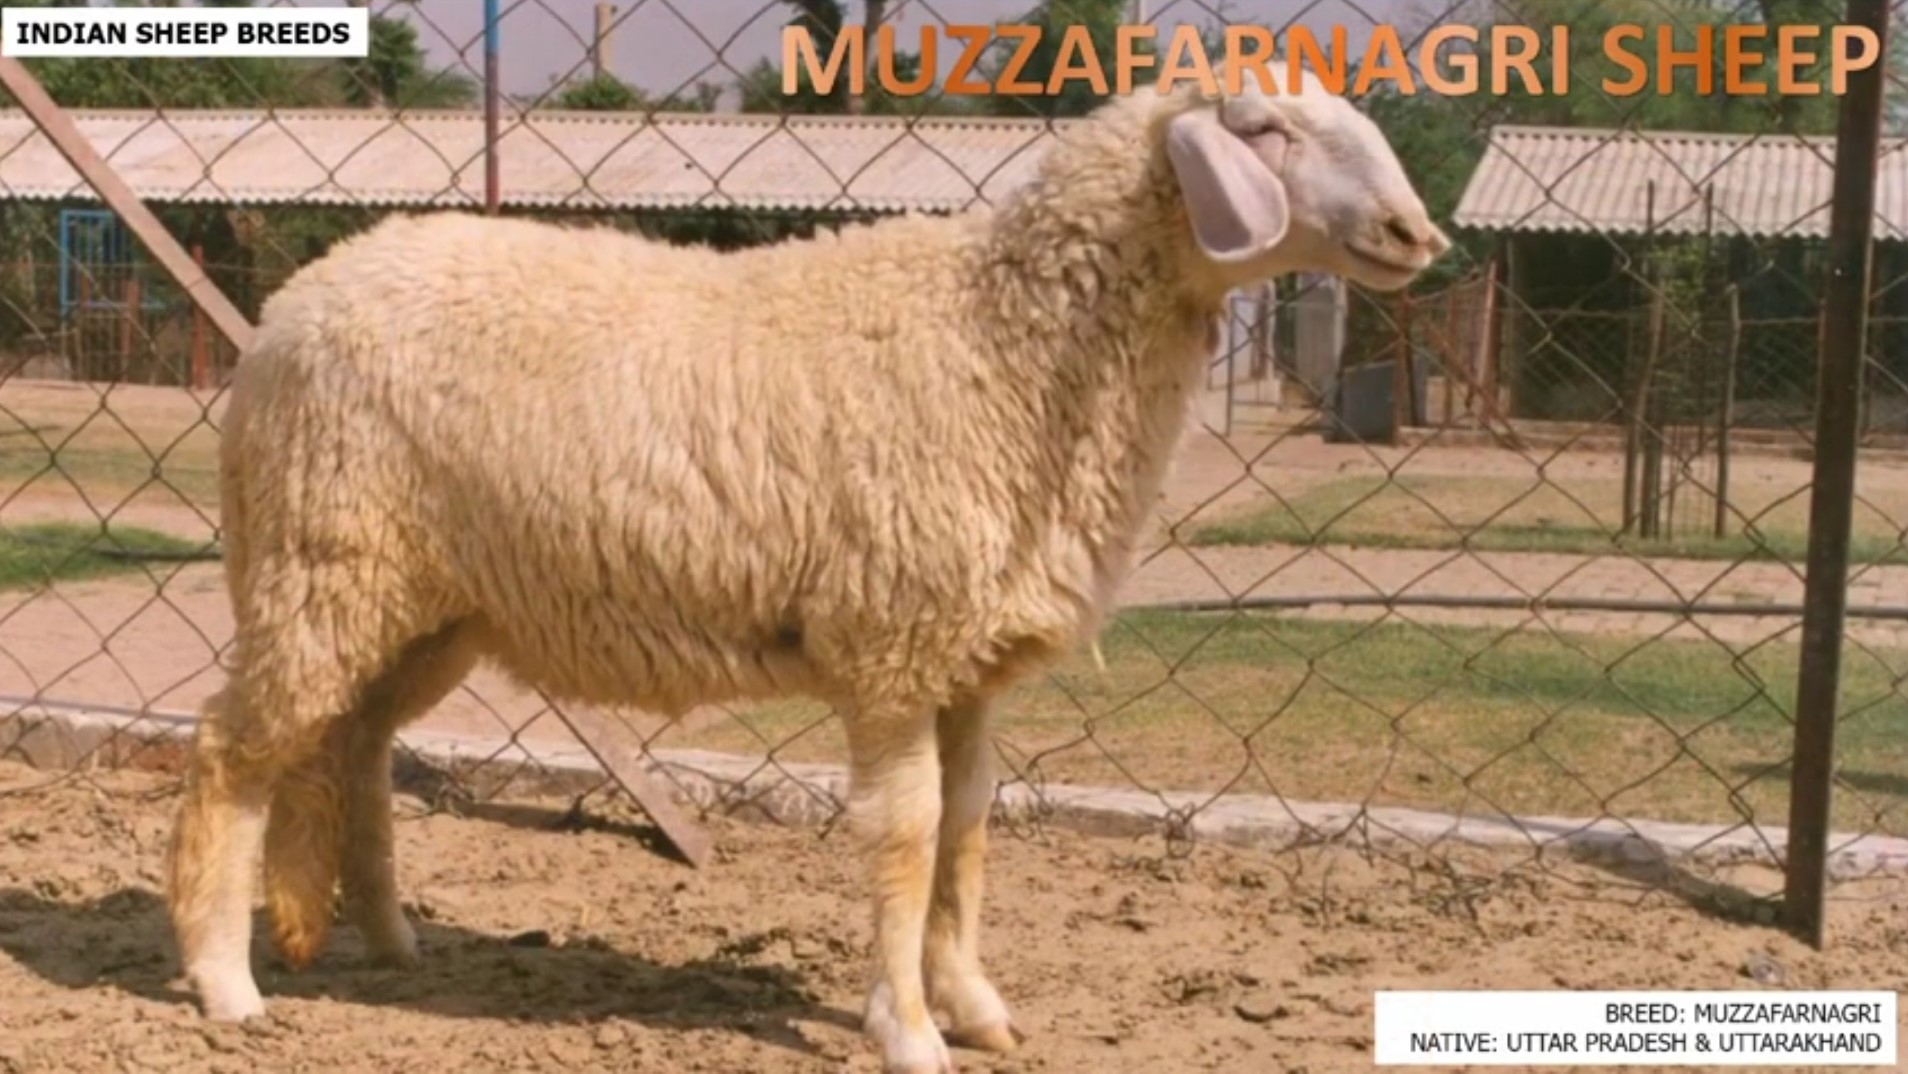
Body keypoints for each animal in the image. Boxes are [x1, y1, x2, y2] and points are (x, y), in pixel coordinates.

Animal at [164, 71, 1450, 1074]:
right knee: (235, 753)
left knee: (358, 742)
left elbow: (969, 833)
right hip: (318, 560)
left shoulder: (968, 662)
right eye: (1263, 129)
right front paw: (909, 1029)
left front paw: (974, 1007)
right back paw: (227, 985)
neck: (1007, 340)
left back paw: (389, 941)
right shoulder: (891, 646)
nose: (1414, 235)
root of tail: (301, 298)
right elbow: (908, 837)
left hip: (422, 602)